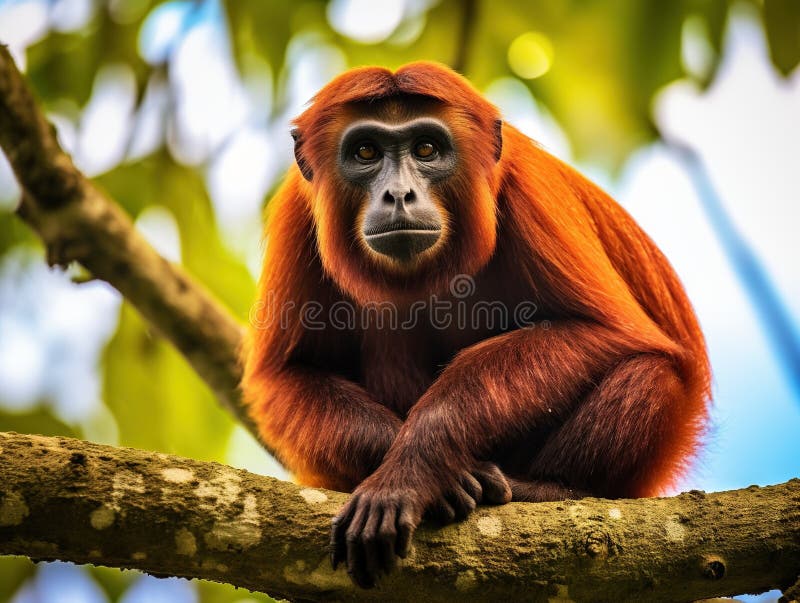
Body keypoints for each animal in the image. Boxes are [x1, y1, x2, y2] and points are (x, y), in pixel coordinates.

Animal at [241, 61, 711, 588]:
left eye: (427, 149)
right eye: (365, 152)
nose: (398, 194)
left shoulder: (530, 189)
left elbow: (606, 330)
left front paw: (414, 466)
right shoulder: (296, 210)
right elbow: (287, 373)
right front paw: (429, 474)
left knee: (654, 374)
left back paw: (551, 489)